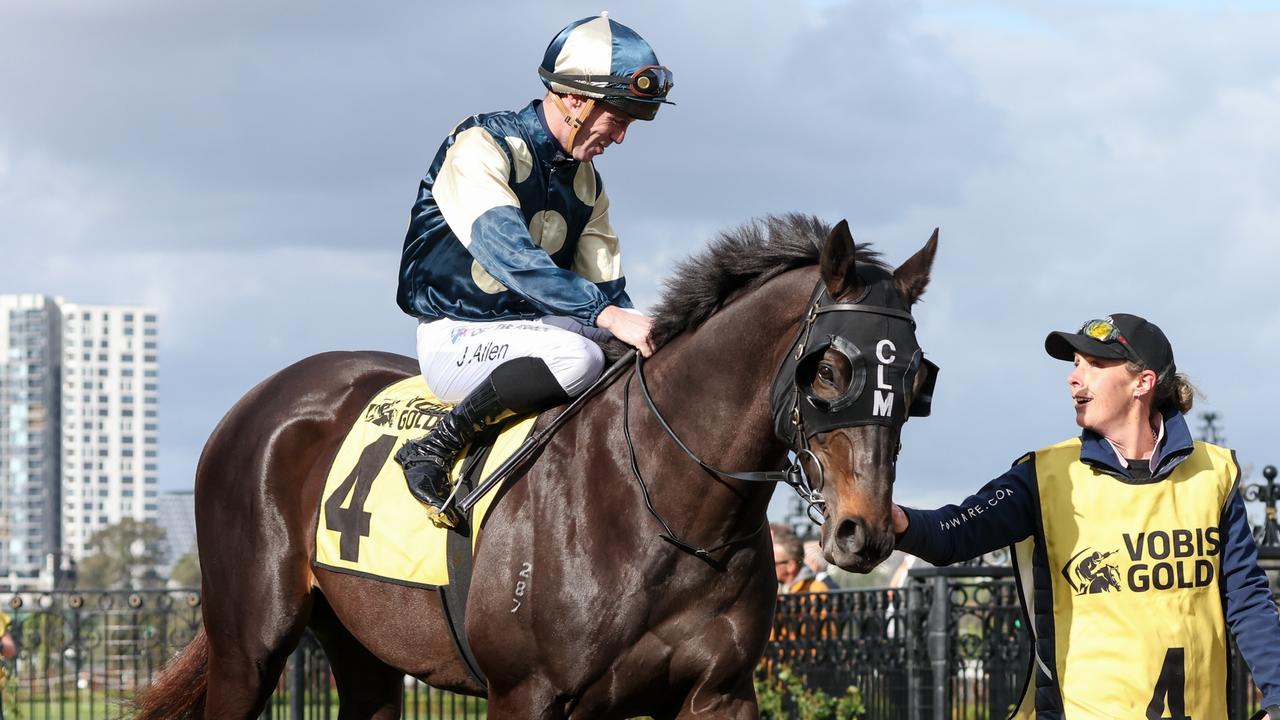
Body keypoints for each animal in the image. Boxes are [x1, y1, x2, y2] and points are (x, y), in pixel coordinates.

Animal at [134, 213, 938, 719]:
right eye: (829, 370)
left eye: (916, 378)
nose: (863, 532)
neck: (666, 510)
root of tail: (258, 402)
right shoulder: (528, 694)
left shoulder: (720, 694)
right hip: (249, 645)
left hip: (361, 649)